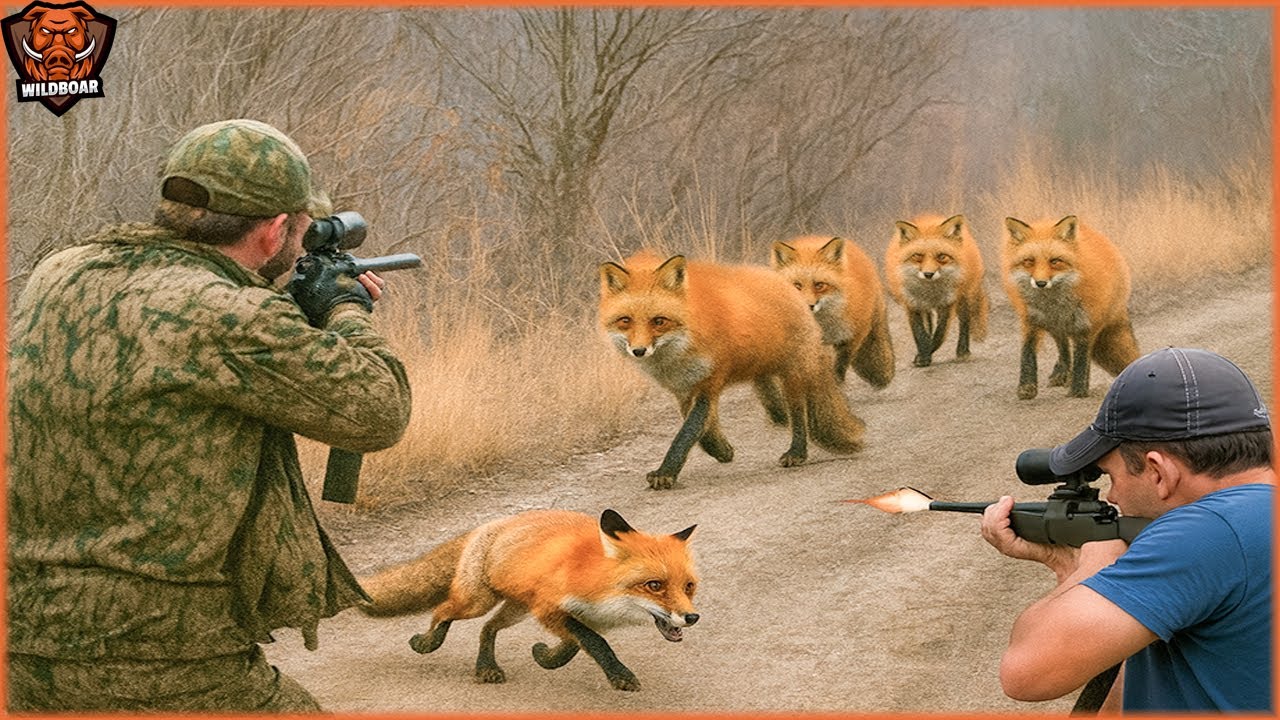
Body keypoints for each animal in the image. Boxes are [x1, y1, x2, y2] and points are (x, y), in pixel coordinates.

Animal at [358, 508, 698, 692]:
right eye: (654, 585)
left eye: (689, 587)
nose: (692, 617)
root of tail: (491, 525)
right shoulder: (549, 608)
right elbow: (594, 642)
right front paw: (620, 676)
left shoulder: (582, 617)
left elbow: (576, 645)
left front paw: (546, 657)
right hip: (478, 600)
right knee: (443, 611)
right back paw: (427, 642)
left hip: (516, 608)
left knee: (488, 628)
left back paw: (486, 666)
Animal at [599, 251, 865, 490]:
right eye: (625, 321)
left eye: (659, 321)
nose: (639, 350)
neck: (679, 350)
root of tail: (788, 284)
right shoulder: (684, 388)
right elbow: (702, 430)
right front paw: (722, 451)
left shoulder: (709, 382)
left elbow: (687, 432)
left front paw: (666, 473)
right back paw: (776, 415)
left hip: (793, 373)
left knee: (799, 413)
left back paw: (796, 451)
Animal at [771, 235, 895, 388]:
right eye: (797, 286)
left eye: (819, 285)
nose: (808, 306)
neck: (822, 325)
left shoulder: (852, 336)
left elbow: (840, 365)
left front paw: (838, 384)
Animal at [884, 214, 989, 367]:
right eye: (917, 256)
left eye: (942, 257)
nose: (928, 274)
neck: (930, 293)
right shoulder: (912, 304)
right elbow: (920, 332)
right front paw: (923, 354)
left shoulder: (947, 304)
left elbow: (940, 334)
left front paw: (925, 354)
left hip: (963, 298)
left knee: (964, 322)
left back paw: (963, 351)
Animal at [1001, 215, 1140, 400]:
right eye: (1029, 261)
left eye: (1055, 261)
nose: (1040, 283)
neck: (1055, 303)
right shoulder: (1030, 319)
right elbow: (1027, 353)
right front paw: (1026, 387)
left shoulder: (1087, 324)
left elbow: (1081, 358)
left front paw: (1078, 390)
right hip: (1055, 325)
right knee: (1063, 345)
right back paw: (1062, 373)